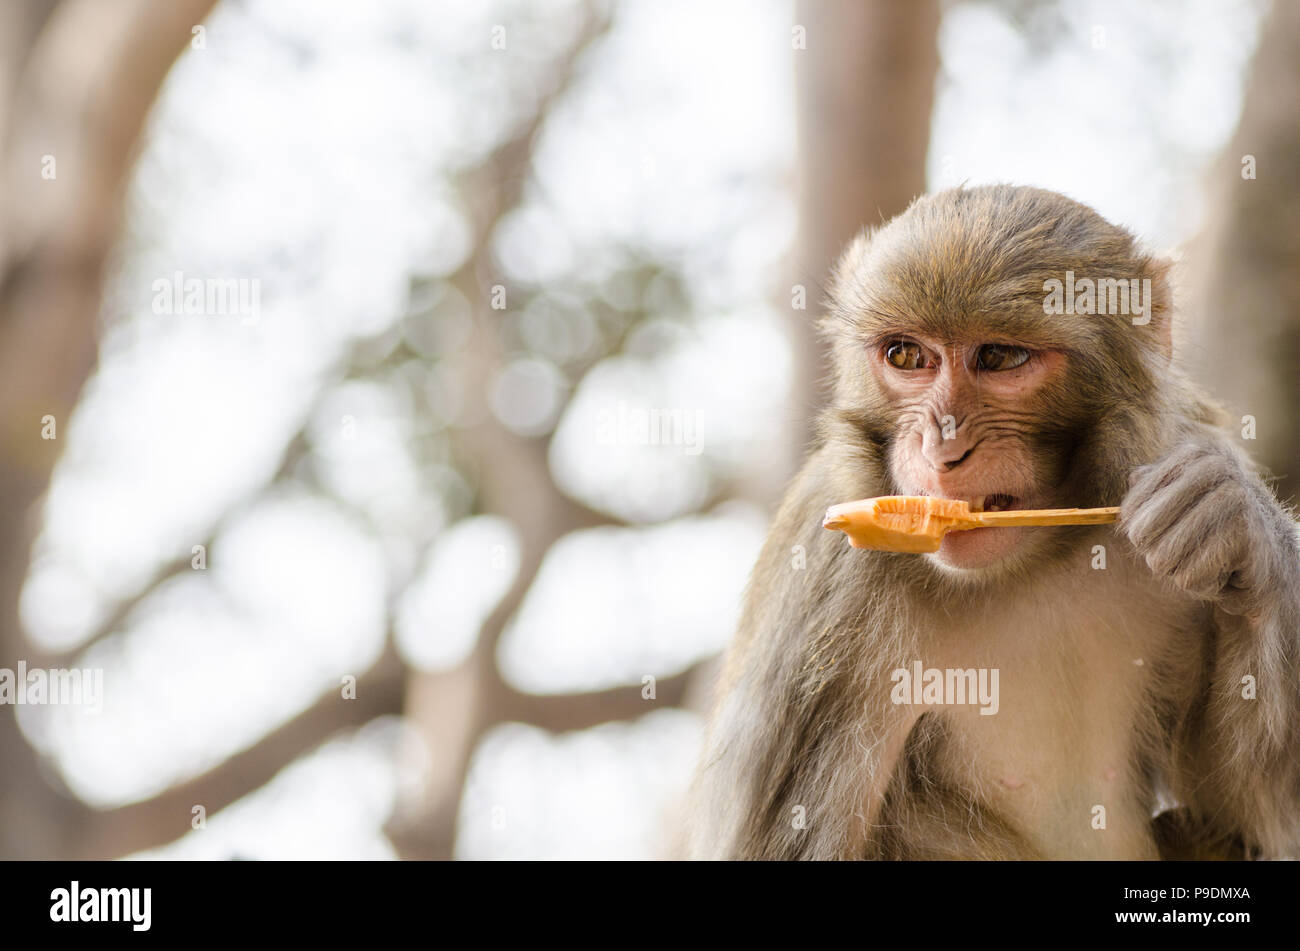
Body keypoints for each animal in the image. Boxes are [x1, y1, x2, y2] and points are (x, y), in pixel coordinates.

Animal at [687, 184, 1300, 860]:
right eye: (907, 355)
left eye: (1000, 357)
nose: (942, 448)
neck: (1035, 560)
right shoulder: (825, 573)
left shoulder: (1179, 447)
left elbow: (1251, 813)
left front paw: (1237, 525)